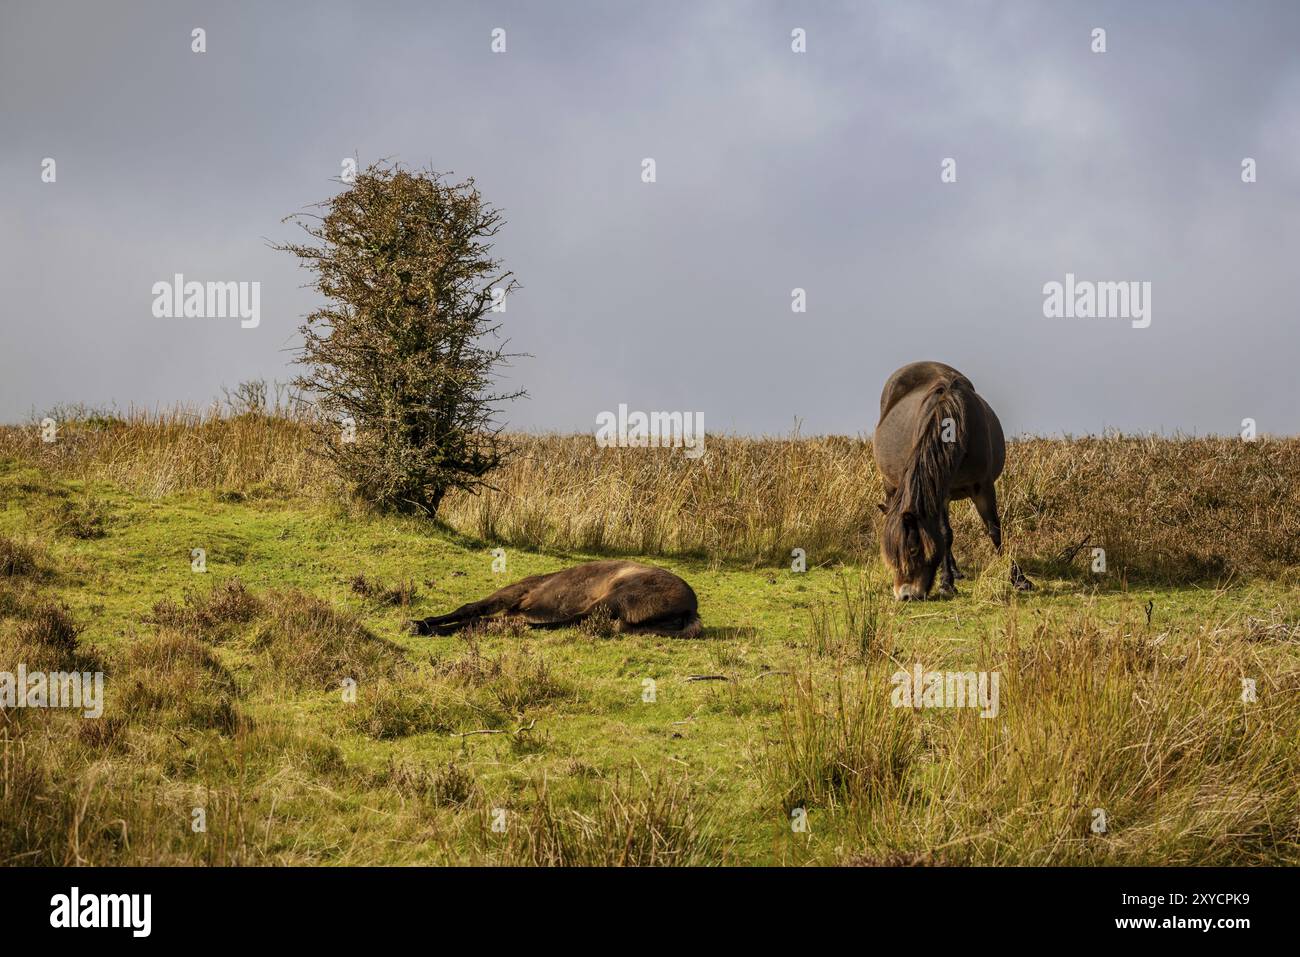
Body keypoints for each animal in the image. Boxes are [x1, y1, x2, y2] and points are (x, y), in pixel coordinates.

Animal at [407, 559, 702, 638]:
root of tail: (691, 608)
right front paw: (423, 624)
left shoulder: (512, 593)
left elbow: (471, 608)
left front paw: (424, 625)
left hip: (614, 598)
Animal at [872, 361, 1033, 600]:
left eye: (913, 550)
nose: (905, 595)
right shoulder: (941, 493)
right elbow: (946, 534)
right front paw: (946, 582)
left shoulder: (984, 488)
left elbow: (995, 530)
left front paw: (1018, 578)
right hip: (892, 486)